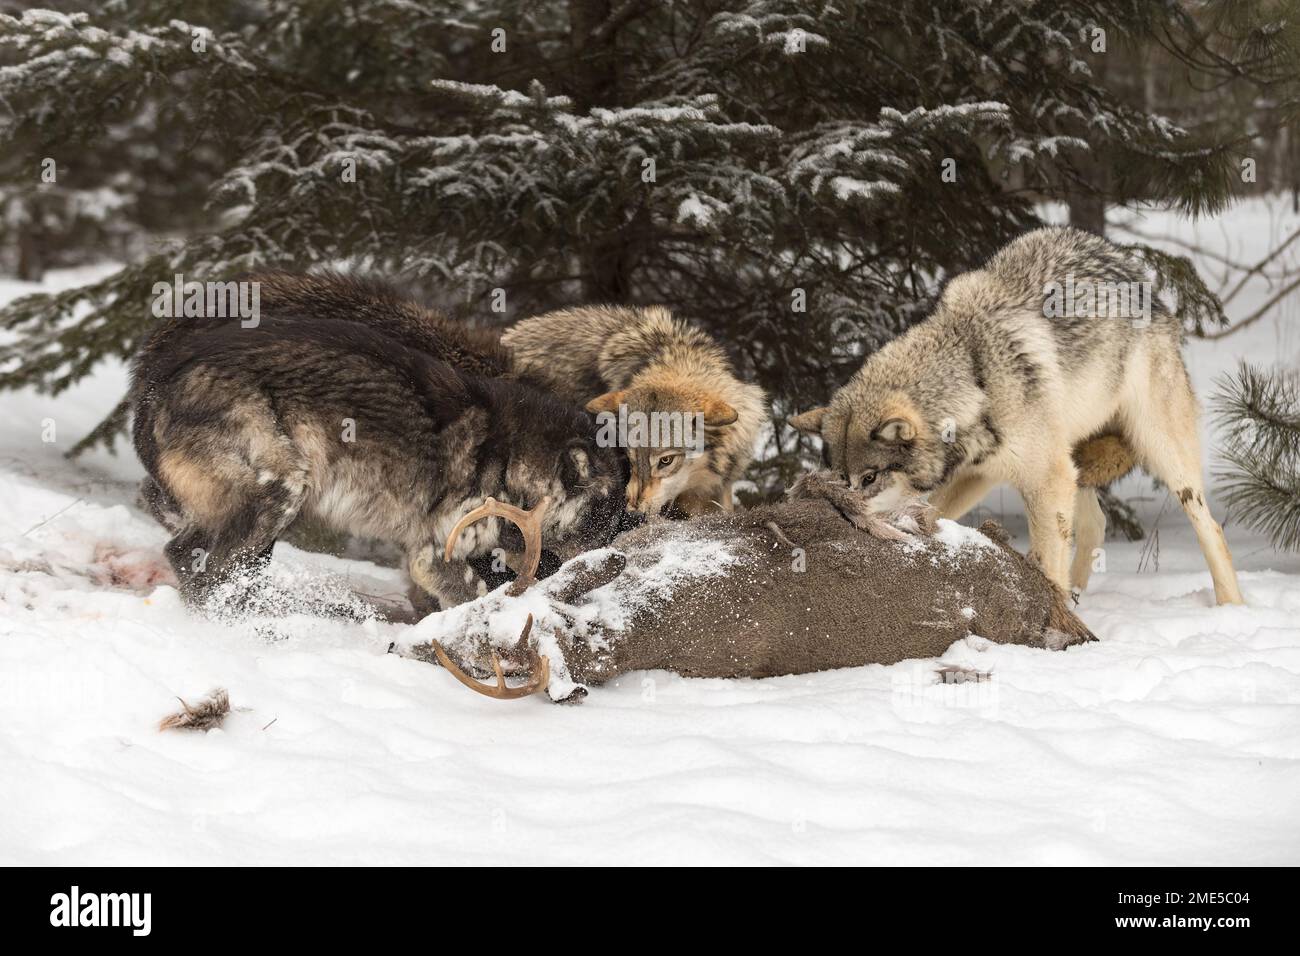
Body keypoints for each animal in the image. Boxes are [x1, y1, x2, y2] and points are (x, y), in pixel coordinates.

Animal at [130, 280, 630, 612]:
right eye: (604, 511)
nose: (620, 546)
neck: (510, 458)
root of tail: (151, 385)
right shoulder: (434, 554)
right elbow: (476, 598)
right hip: (282, 488)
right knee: (201, 567)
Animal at [790, 227, 1243, 605]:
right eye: (841, 479)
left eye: (870, 478)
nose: (845, 517)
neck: (977, 382)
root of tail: (1131, 267)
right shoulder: (980, 475)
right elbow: (934, 515)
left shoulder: (1044, 480)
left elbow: (1046, 562)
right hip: (1074, 463)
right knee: (1095, 525)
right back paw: (1080, 597)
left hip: (1159, 455)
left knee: (1212, 528)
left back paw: (1229, 607)